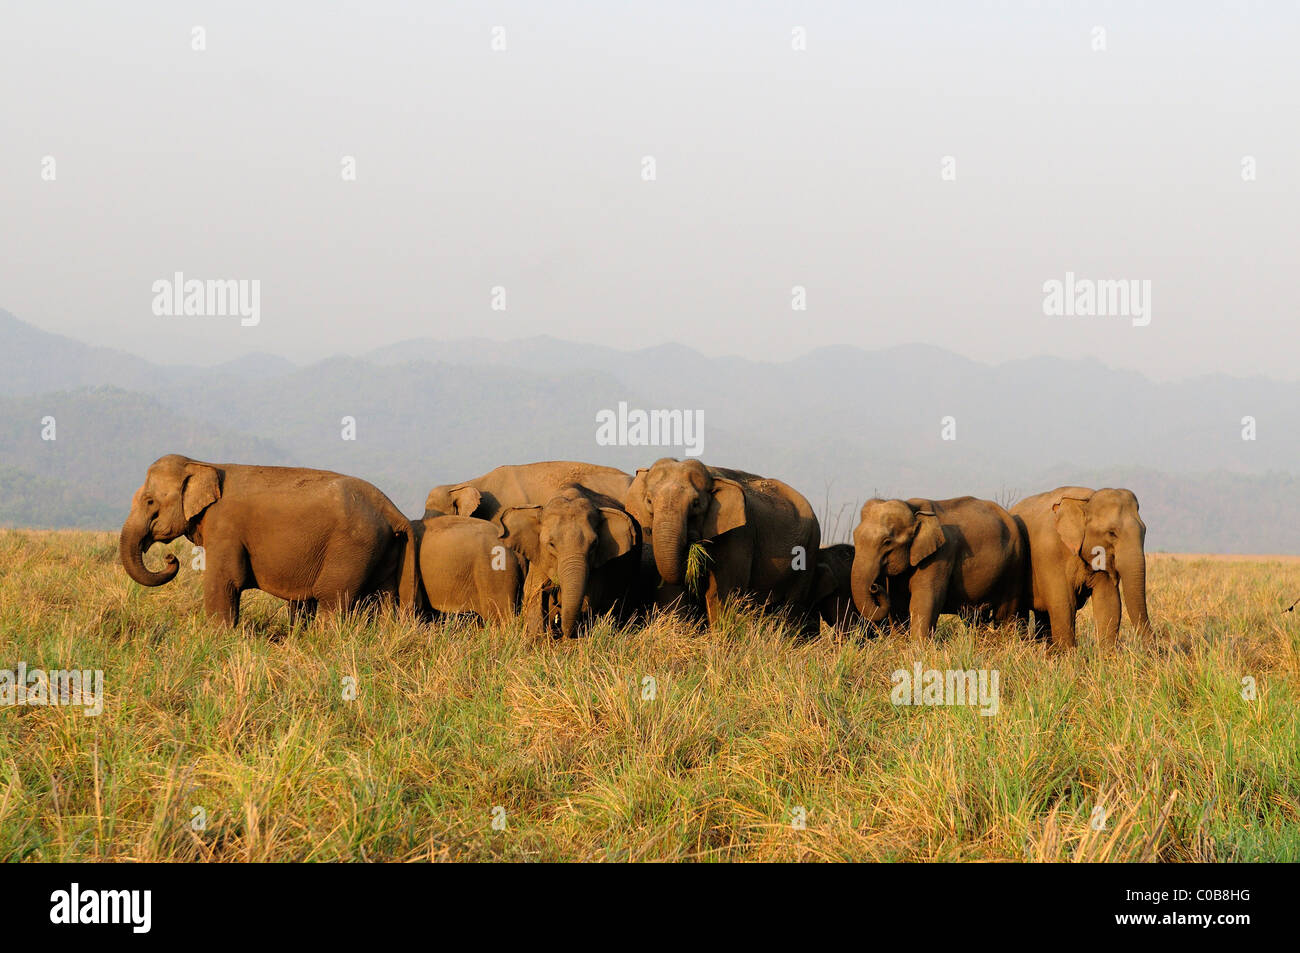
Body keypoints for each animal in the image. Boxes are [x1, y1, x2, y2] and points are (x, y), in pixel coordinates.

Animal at [119, 454, 416, 626]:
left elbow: (225, 579)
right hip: (382, 548)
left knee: (332, 598)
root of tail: (391, 508)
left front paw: (216, 639)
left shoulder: (225, 526)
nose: (170, 558)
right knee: (383, 597)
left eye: (149, 502)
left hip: (353, 548)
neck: (203, 463)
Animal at [496, 484, 641, 638]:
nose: (551, 588)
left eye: (594, 544)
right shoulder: (538, 558)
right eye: (551, 544)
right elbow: (533, 593)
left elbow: (589, 600)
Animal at [625, 458, 821, 635]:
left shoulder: (738, 535)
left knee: (792, 605)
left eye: (696, 503)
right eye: (649, 501)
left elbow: (721, 593)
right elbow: (672, 590)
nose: (692, 540)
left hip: (809, 551)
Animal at [851, 496, 1025, 641]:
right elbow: (898, 603)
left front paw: (919, 649)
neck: (912, 508)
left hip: (1015, 563)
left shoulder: (941, 554)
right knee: (976, 618)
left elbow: (924, 601)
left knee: (1005, 614)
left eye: (887, 542)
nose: (874, 587)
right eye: (855, 537)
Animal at [1010, 486, 1151, 649]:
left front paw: (1108, 654)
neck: (1086, 500)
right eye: (1112, 533)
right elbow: (1063, 604)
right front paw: (1068, 654)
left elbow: (1109, 601)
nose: (1156, 650)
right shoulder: (1050, 554)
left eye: (1144, 531)